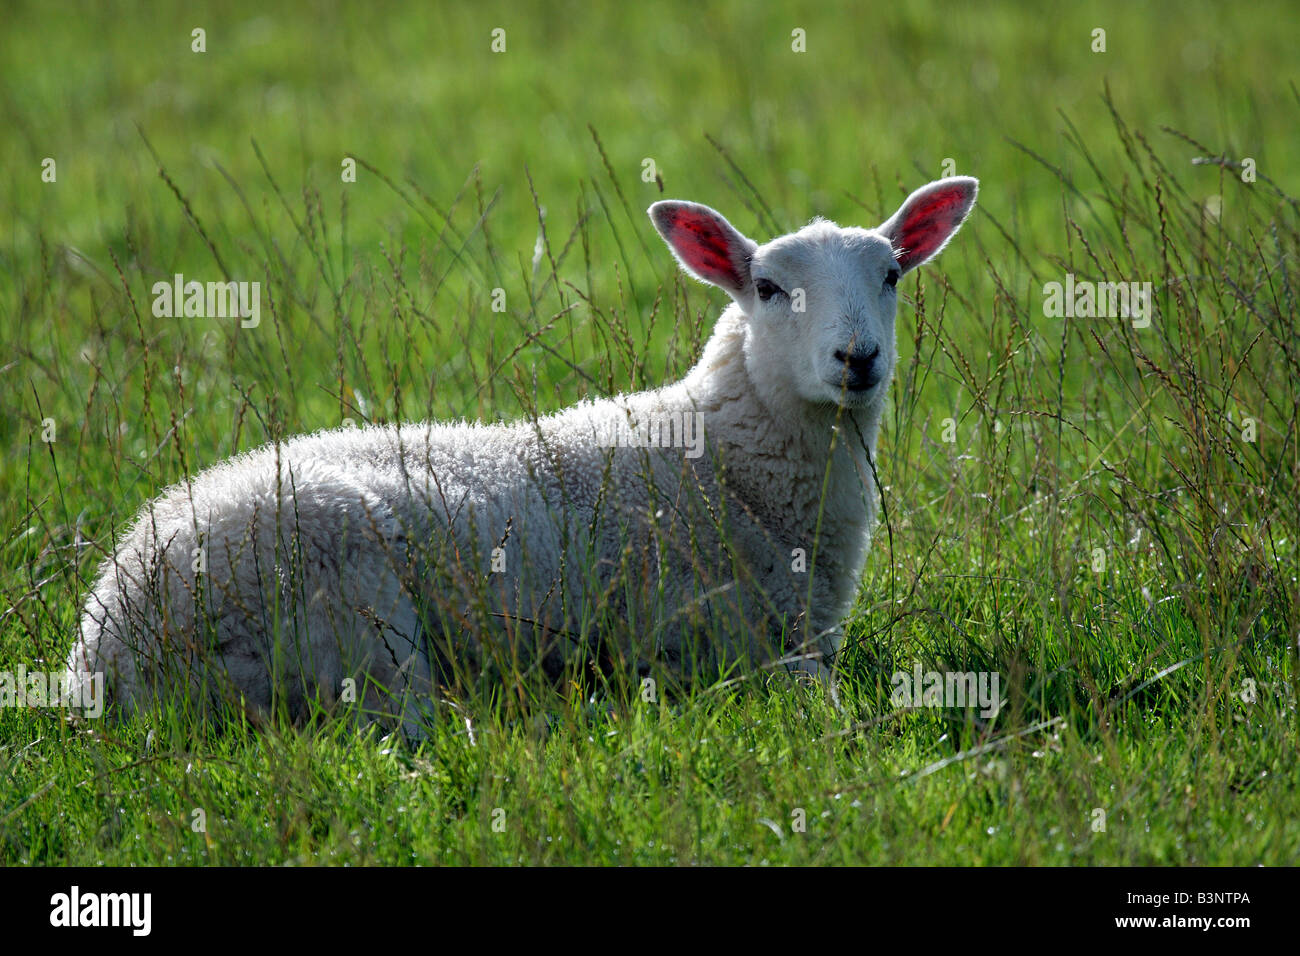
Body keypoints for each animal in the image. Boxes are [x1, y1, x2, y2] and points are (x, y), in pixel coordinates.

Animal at [64, 176, 978, 732]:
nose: (857, 358)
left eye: (893, 274)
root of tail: (103, 651)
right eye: (766, 287)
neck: (724, 459)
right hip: (355, 621)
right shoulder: (730, 643)